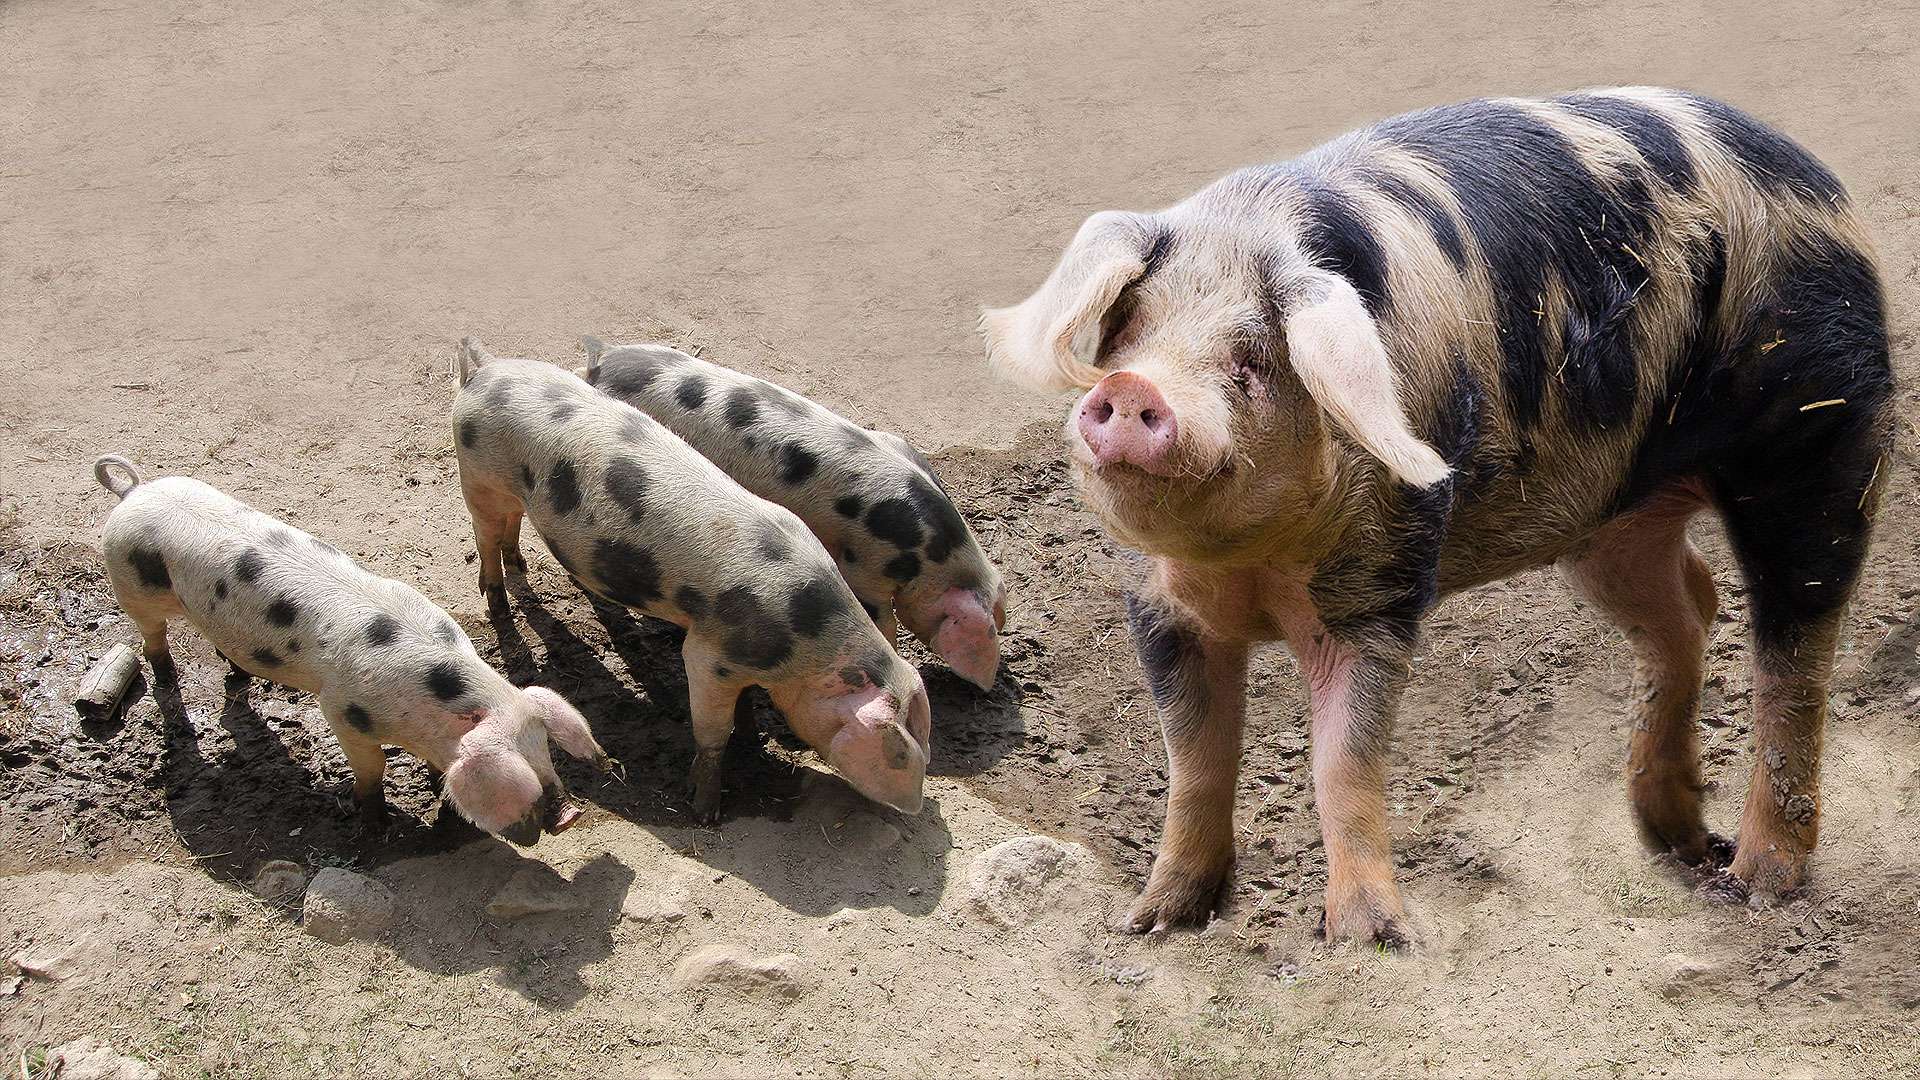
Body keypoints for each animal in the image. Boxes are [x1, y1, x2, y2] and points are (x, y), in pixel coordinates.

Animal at [92, 455, 610, 845]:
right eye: (522, 773)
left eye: (546, 753)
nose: (572, 816)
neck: (430, 702)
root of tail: (133, 493)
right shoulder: (341, 709)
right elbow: (373, 768)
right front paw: (377, 826)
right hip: (130, 583)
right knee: (152, 636)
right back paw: (167, 680)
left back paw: (237, 675)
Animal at [451, 339, 932, 820]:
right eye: (898, 751)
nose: (912, 811)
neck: (804, 639)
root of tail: (486, 372)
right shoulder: (706, 656)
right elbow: (712, 733)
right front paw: (704, 811)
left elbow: (744, 705)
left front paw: (751, 738)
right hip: (477, 478)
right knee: (486, 537)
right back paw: (498, 604)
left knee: (512, 527)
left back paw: (519, 566)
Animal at [981, 88, 1893, 945]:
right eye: (1125, 332)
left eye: (1251, 362)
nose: (1131, 388)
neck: (1247, 567)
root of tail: (1820, 182)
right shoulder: (1159, 607)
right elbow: (1195, 761)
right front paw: (1155, 922)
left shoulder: (1383, 581)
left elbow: (1342, 764)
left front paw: (1372, 940)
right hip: (1610, 522)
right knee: (1687, 610)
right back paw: (1672, 837)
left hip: (1821, 439)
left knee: (1794, 659)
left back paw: (1752, 885)